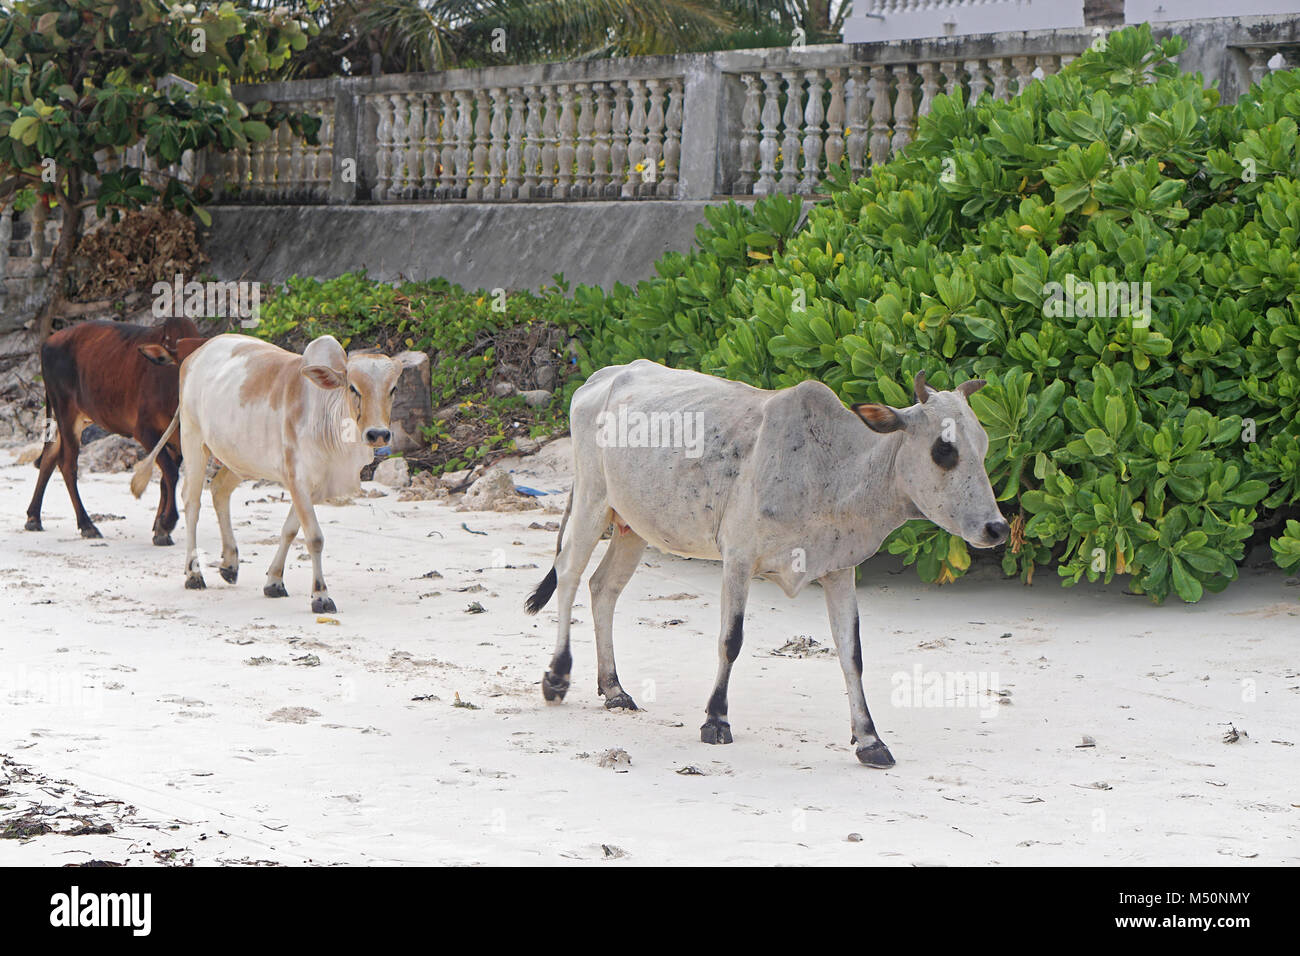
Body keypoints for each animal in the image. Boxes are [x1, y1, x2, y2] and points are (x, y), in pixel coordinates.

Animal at [25, 315, 201, 545]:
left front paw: (160, 525)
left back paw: (33, 518)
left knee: (49, 456)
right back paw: (87, 525)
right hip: (66, 412)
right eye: (182, 366)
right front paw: (166, 525)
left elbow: (165, 479)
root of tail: (48, 342)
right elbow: (170, 473)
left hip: (79, 417)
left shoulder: (178, 440)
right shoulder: (145, 431)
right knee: (67, 464)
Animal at [131, 333, 400, 613]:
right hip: (193, 440)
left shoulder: (313, 488)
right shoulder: (298, 479)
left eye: (393, 389)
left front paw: (274, 582)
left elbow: (290, 530)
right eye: (353, 388)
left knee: (219, 489)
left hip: (240, 458)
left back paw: (229, 564)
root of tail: (195, 354)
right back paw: (194, 574)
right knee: (192, 502)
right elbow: (314, 538)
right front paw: (320, 596)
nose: (378, 434)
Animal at [524, 360, 1009, 768]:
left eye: (983, 446)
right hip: (592, 502)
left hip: (632, 526)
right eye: (943, 450)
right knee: (569, 576)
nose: (997, 528)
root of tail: (603, 376)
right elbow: (731, 641)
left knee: (602, 588)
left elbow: (851, 654)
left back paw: (613, 687)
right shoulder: (738, 558)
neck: (831, 467)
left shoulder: (839, 570)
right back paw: (558, 677)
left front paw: (870, 739)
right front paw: (716, 720)